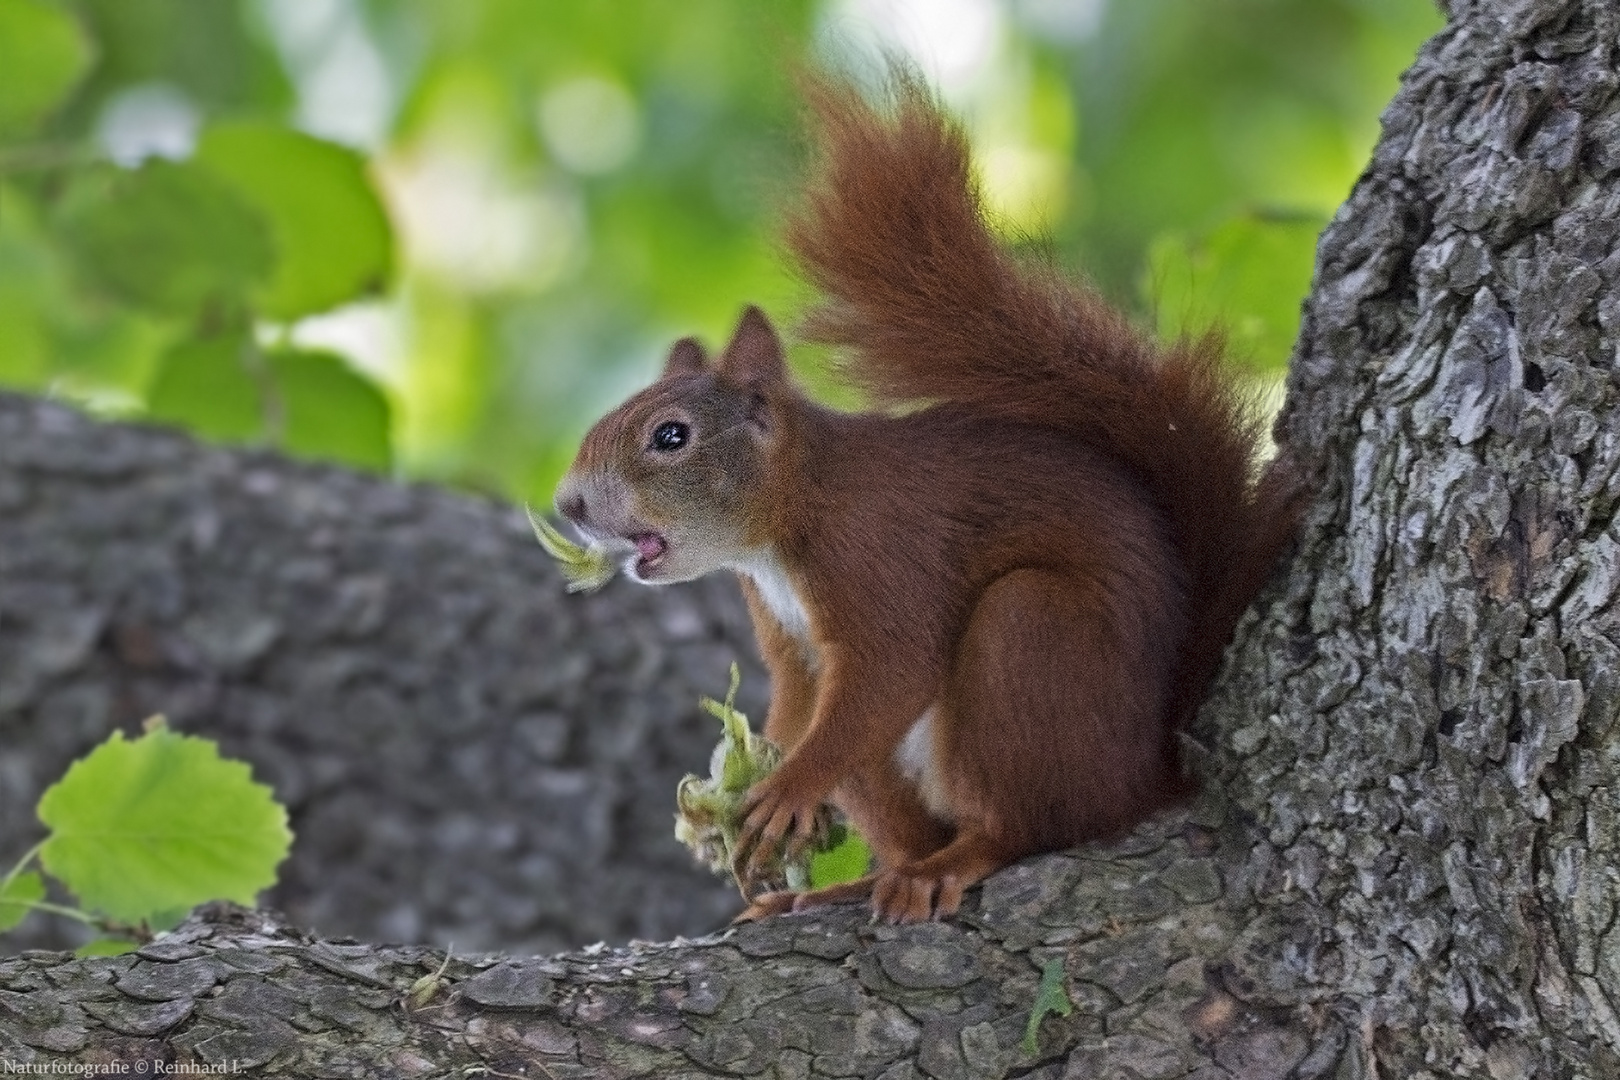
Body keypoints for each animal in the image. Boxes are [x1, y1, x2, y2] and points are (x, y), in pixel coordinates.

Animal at [554, 73, 1300, 924]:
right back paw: (853, 883)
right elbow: (798, 699)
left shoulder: (879, 548)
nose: (569, 505)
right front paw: (762, 772)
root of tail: (1149, 774)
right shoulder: (787, 633)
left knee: (1030, 823)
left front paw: (784, 788)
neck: (791, 517)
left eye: (670, 436)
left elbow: (895, 665)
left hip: (1032, 637)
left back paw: (955, 861)